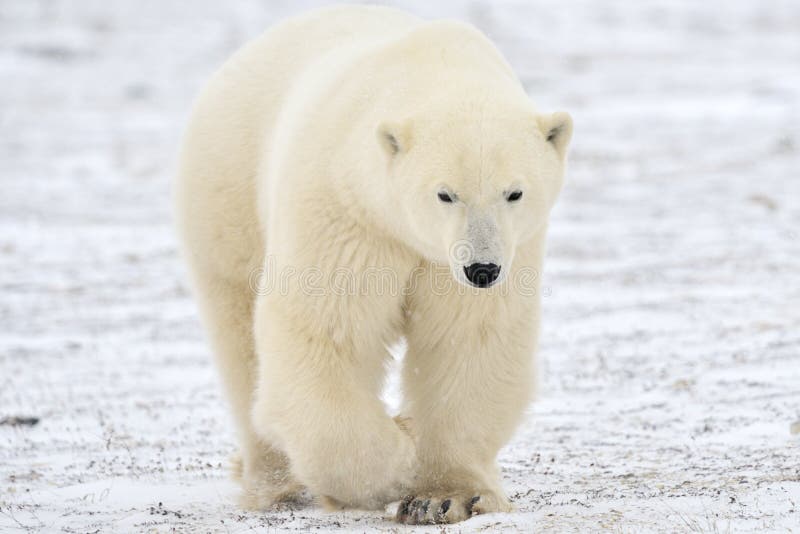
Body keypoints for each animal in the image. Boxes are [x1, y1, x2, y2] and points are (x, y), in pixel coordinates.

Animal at [175, 4, 572, 525]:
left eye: (515, 192)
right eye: (445, 193)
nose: (481, 269)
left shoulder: (490, 253)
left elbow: (467, 339)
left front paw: (447, 495)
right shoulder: (348, 215)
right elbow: (326, 331)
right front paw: (397, 462)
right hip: (228, 190)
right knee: (239, 333)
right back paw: (275, 483)